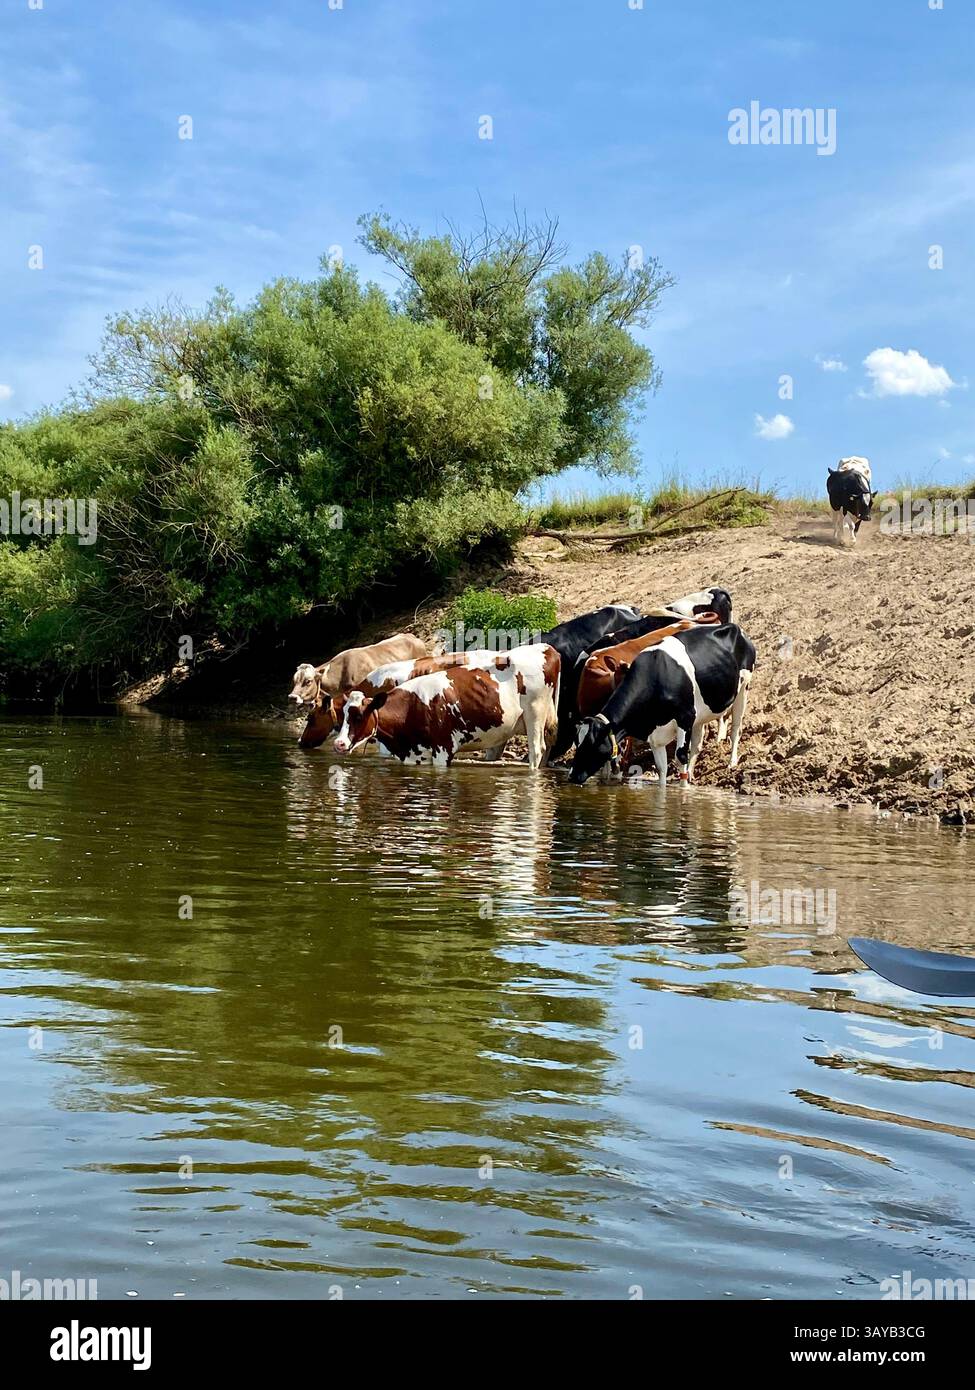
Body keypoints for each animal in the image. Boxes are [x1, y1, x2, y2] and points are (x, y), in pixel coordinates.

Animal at [332, 644, 561, 770]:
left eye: (359, 716)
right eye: (342, 716)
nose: (339, 744)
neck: (412, 707)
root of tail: (545, 648)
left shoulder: (443, 750)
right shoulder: (417, 755)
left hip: (535, 714)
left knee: (537, 751)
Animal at [568, 624, 756, 786]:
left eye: (592, 743)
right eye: (577, 742)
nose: (571, 775)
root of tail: (734, 627)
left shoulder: (685, 718)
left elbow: (680, 757)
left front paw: (684, 790)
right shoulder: (655, 735)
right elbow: (661, 769)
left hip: (743, 689)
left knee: (736, 729)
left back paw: (732, 762)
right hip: (701, 713)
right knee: (697, 743)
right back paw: (692, 773)